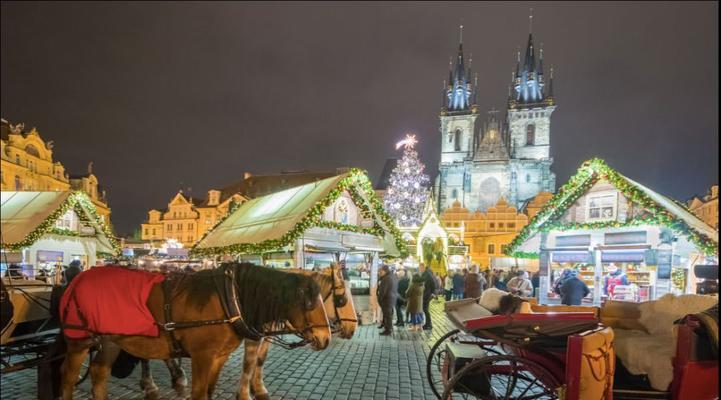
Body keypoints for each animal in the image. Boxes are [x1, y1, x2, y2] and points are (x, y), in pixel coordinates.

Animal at [62, 262, 332, 400]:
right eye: (310, 302)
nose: (326, 338)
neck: (230, 298)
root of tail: (79, 278)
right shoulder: (202, 357)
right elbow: (199, 393)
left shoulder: (218, 357)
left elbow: (209, 392)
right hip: (78, 340)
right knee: (68, 378)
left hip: (111, 340)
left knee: (99, 372)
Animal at [238, 266, 358, 400]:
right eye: (341, 299)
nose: (353, 327)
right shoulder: (252, 334)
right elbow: (249, 362)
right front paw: (245, 394)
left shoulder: (266, 334)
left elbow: (260, 359)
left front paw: (258, 389)